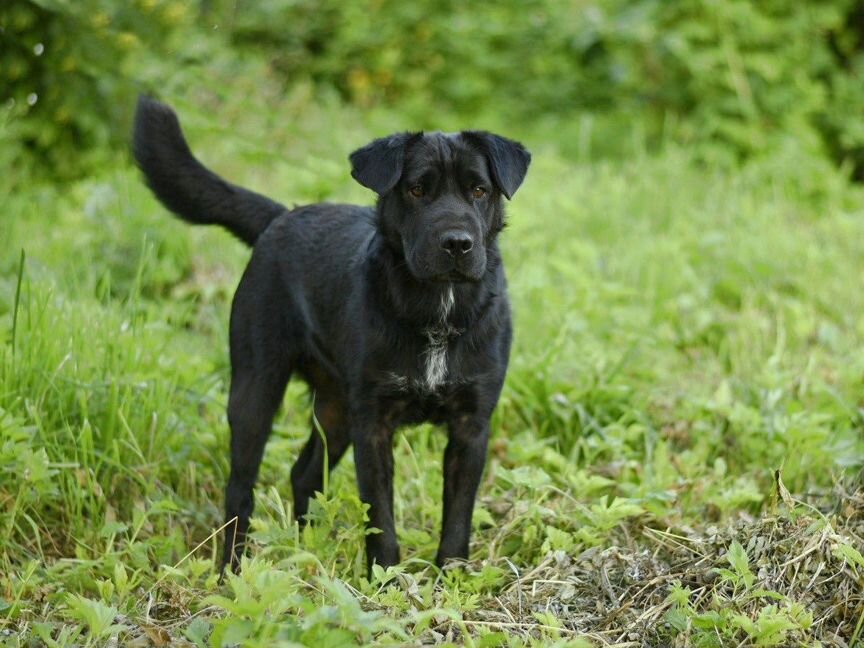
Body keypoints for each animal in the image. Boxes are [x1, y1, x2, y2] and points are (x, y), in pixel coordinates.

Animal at [132, 96, 528, 572]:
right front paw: (385, 577)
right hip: (256, 390)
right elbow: (380, 516)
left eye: (479, 190)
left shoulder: (471, 424)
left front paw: (451, 574)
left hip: (336, 409)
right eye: (417, 190)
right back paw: (232, 568)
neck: (439, 312)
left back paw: (308, 547)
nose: (457, 243)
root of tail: (281, 216)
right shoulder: (372, 424)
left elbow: (457, 516)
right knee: (239, 490)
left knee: (303, 474)